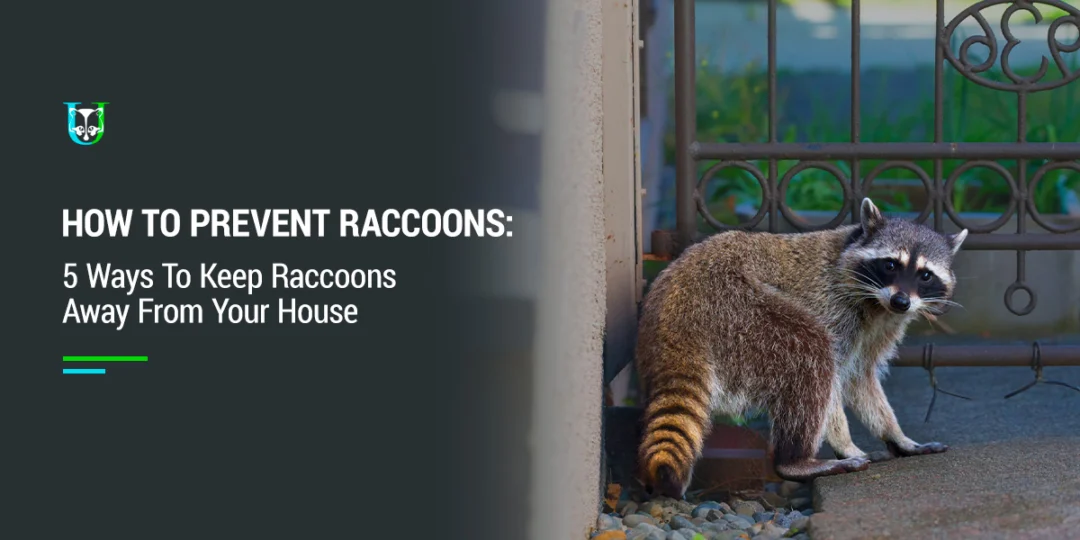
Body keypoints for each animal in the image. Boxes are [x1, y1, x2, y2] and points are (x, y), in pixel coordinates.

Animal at [635, 198, 967, 498]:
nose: (901, 301)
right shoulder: (832, 306)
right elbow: (833, 382)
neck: (877, 302)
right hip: (737, 309)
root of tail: (674, 314)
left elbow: (861, 380)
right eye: (890, 265)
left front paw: (897, 436)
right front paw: (845, 444)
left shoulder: (880, 328)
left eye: (925, 275)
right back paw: (795, 460)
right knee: (810, 351)